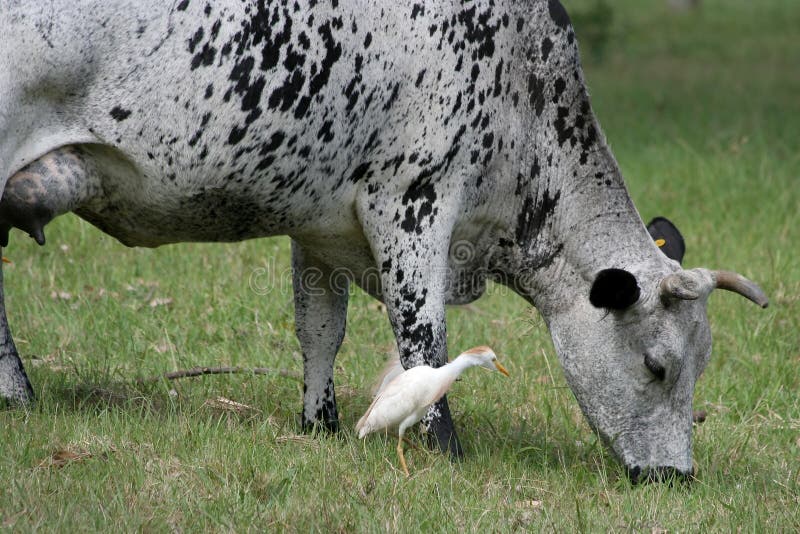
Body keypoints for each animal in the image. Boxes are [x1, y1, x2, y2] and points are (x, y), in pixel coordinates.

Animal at [0, 0, 767, 482]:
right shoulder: (412, 204)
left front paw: (319, 424)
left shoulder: (319, 228)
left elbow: (319, 331)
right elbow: (424, 340)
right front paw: (446, 449)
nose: (676, 477)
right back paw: (18, 397)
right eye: (658, 366)